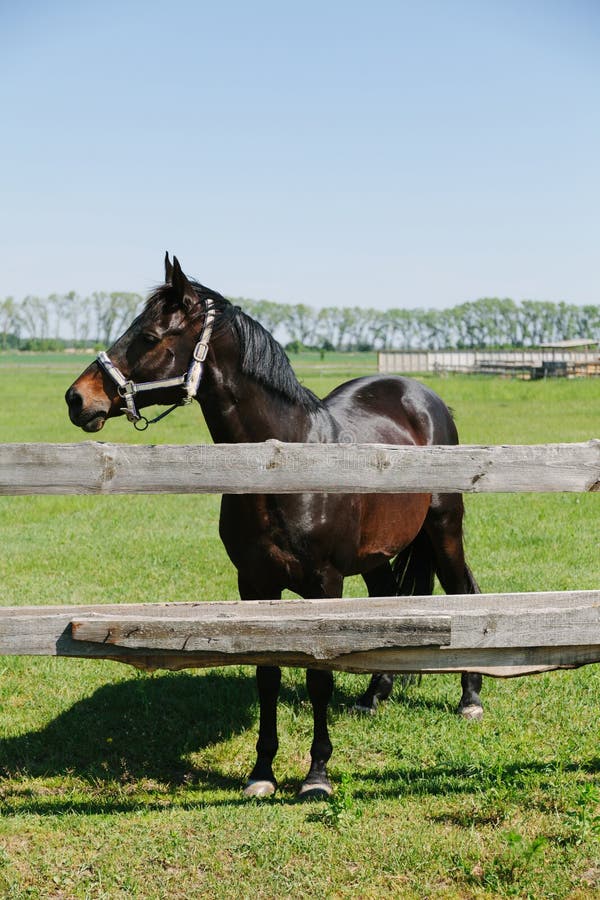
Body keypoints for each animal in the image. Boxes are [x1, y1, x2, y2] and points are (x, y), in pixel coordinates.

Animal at [66, 254, 482, 799]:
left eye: (150, 336)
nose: (78, 398)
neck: (279, 465)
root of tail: (423, 396)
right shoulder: (255, 583)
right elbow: (266, 673)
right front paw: (262, 771)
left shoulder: (325, 585)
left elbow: (319, 677)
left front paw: (317, 774)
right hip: (375, 556)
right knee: (387, 598)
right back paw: (373, 696)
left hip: (444, 527)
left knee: (463, 590)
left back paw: (470, 698)